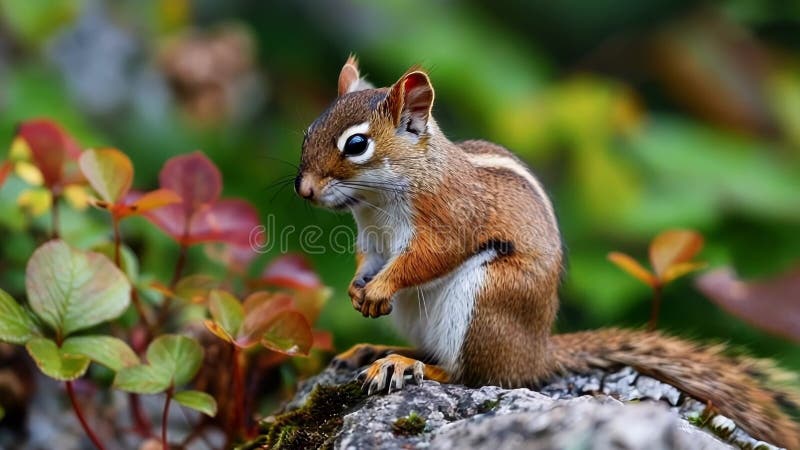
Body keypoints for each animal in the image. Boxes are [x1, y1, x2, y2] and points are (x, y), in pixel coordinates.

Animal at [295, 56, 800, 448]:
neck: (380, 201)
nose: (304, 190)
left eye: (356, 144)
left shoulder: (450, 219)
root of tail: (537, 352)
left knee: (471, 373)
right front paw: (357, 287)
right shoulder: (372, 238)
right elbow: (368, 261)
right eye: (307, 131)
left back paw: (408, 364)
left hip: (485, 299)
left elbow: (426, 259)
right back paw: (379, 351)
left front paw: (381, 286)